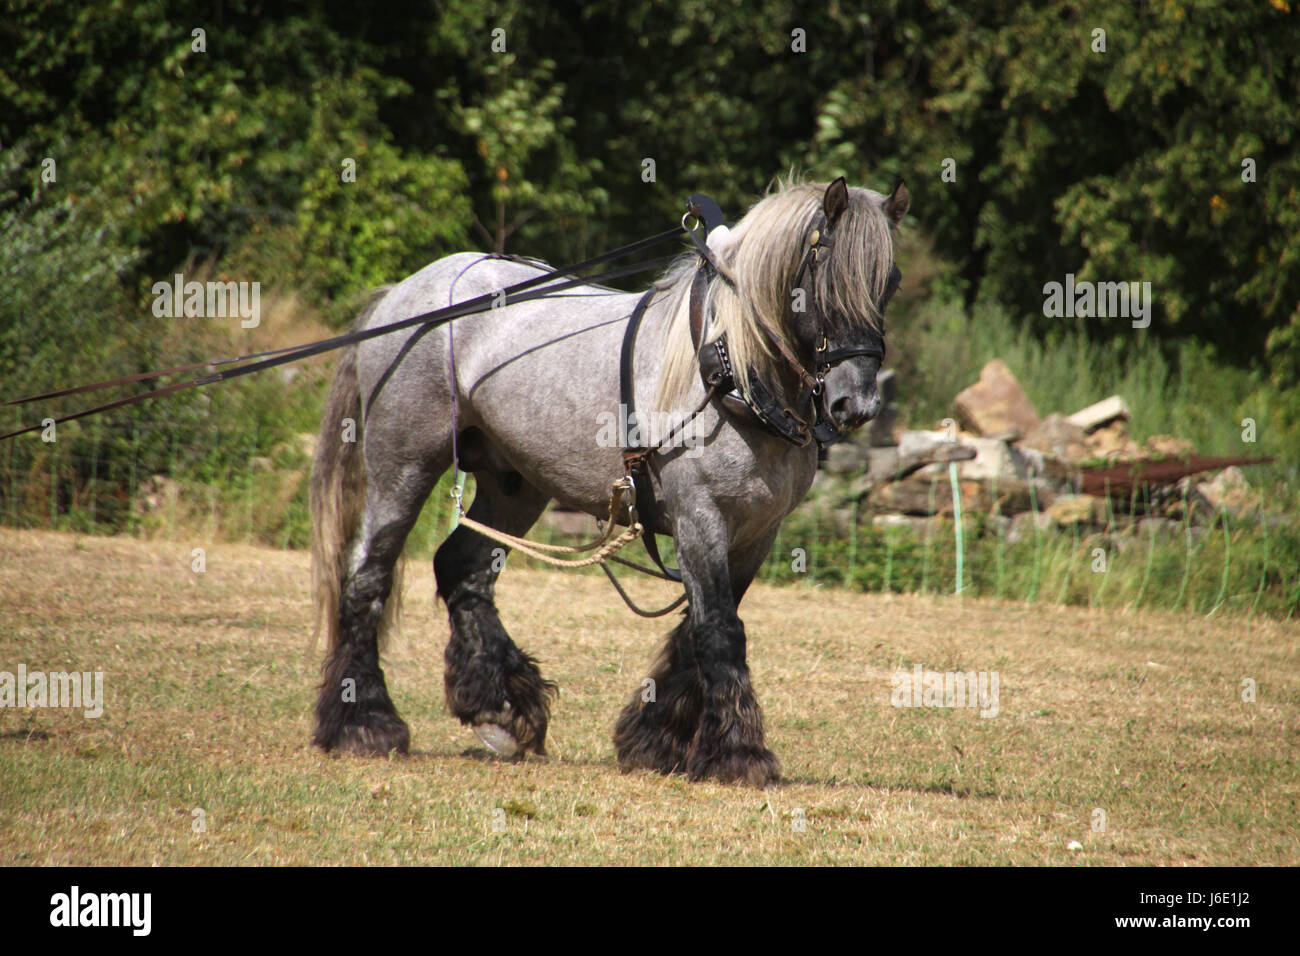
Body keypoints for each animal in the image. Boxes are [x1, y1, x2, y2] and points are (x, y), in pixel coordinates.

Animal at [308, 176, 909, 786]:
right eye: (825, 279)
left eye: (890, 282)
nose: (856, 403)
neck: (728, 368)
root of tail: (403, 294)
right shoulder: (701, 519)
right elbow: (719, 629)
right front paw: (738, 753)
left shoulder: (756, 532)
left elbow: (696, 629)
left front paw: (656, 739)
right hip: (403, 465)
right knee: (367, 578)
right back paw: (364, 722)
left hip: (514, 483)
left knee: (462, 567)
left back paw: (500, 708)